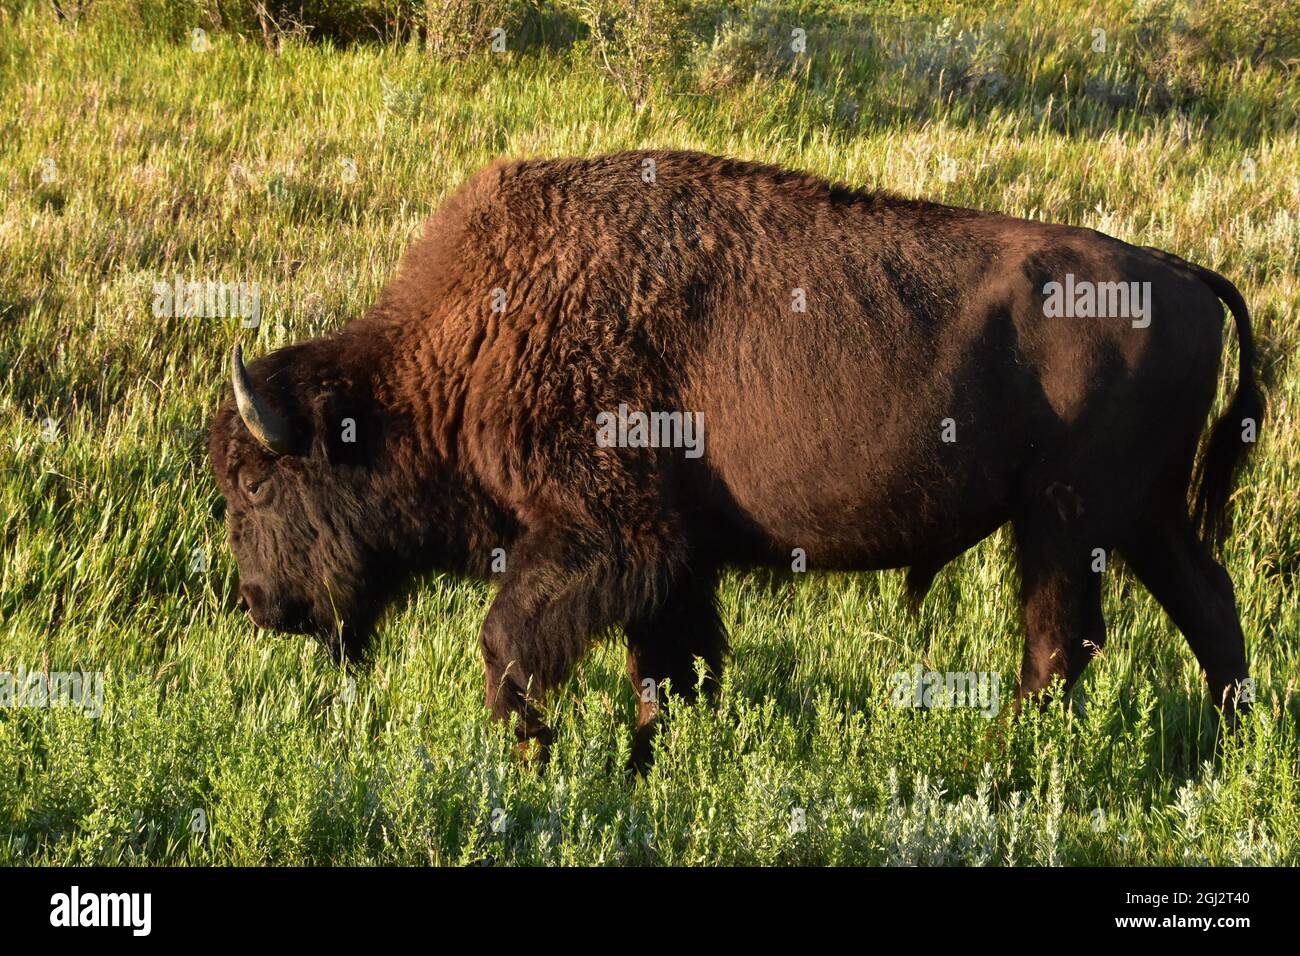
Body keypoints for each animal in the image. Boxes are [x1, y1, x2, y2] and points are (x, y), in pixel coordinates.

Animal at [208, 151, 1261, 766]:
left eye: (254, 482)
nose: (260, 604)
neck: (471, 341)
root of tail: (1183, 275)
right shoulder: (670, 560)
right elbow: (670, 671)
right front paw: (646, 773)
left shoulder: (606, 539)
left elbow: (511, 643)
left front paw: (538, 759)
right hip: (1140, 518)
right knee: (1205, 609)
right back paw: (1233, 749)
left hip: (1065, 521)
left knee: (1061, 644)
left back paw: (1004, 768)